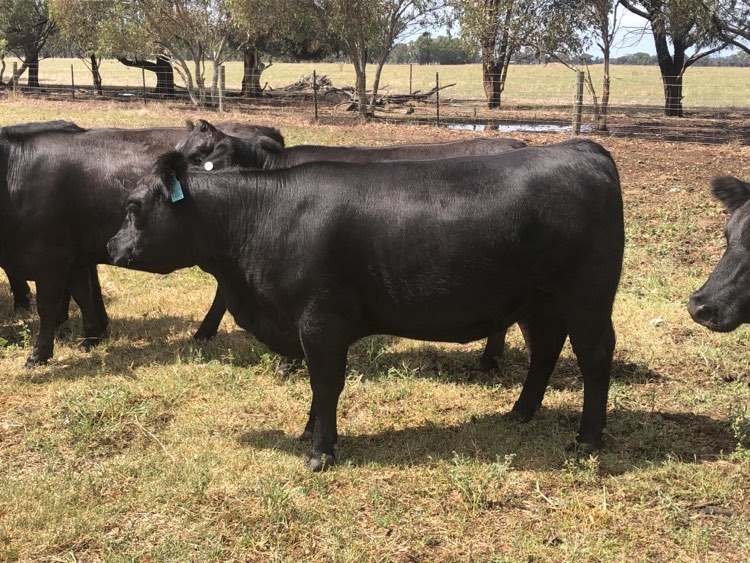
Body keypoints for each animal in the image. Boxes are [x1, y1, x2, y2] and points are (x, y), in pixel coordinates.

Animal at [0, 120, 283, 367]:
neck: (16, 173)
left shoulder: (51, 258)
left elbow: (48, 307)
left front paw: (40, 354)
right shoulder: (75, 257)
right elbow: (84, 293)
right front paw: (92, 336)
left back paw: (206, 331)